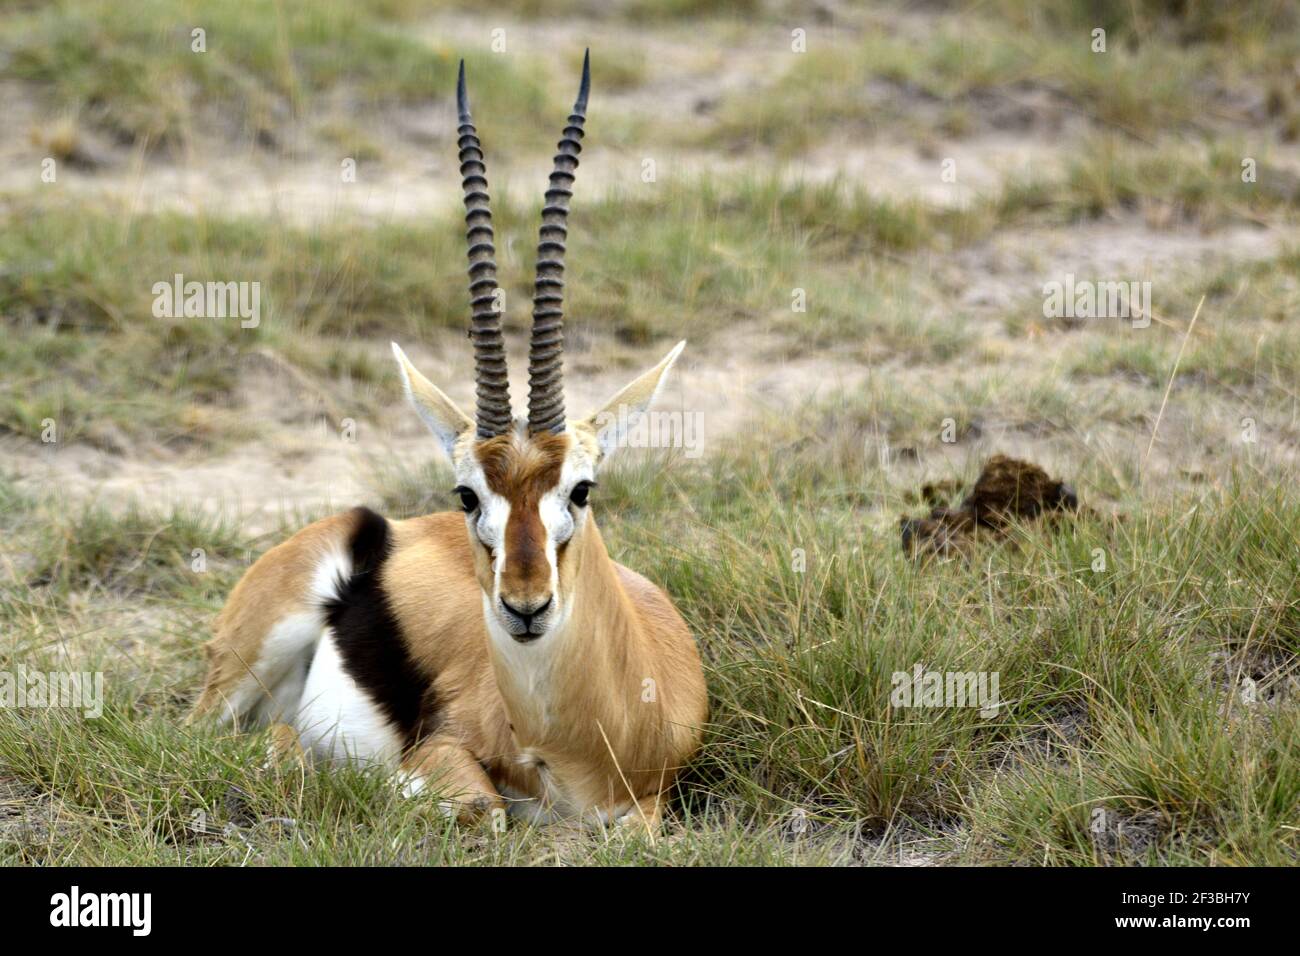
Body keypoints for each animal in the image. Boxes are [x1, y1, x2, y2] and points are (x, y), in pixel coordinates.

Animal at [189, 55, 708, 831]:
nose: (525, 607)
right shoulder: (443, 754)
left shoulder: (646, 809)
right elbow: (481, 806)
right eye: (467, 494)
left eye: (582, 489)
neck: (581, 746)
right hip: (238, 679)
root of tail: (380, 525)